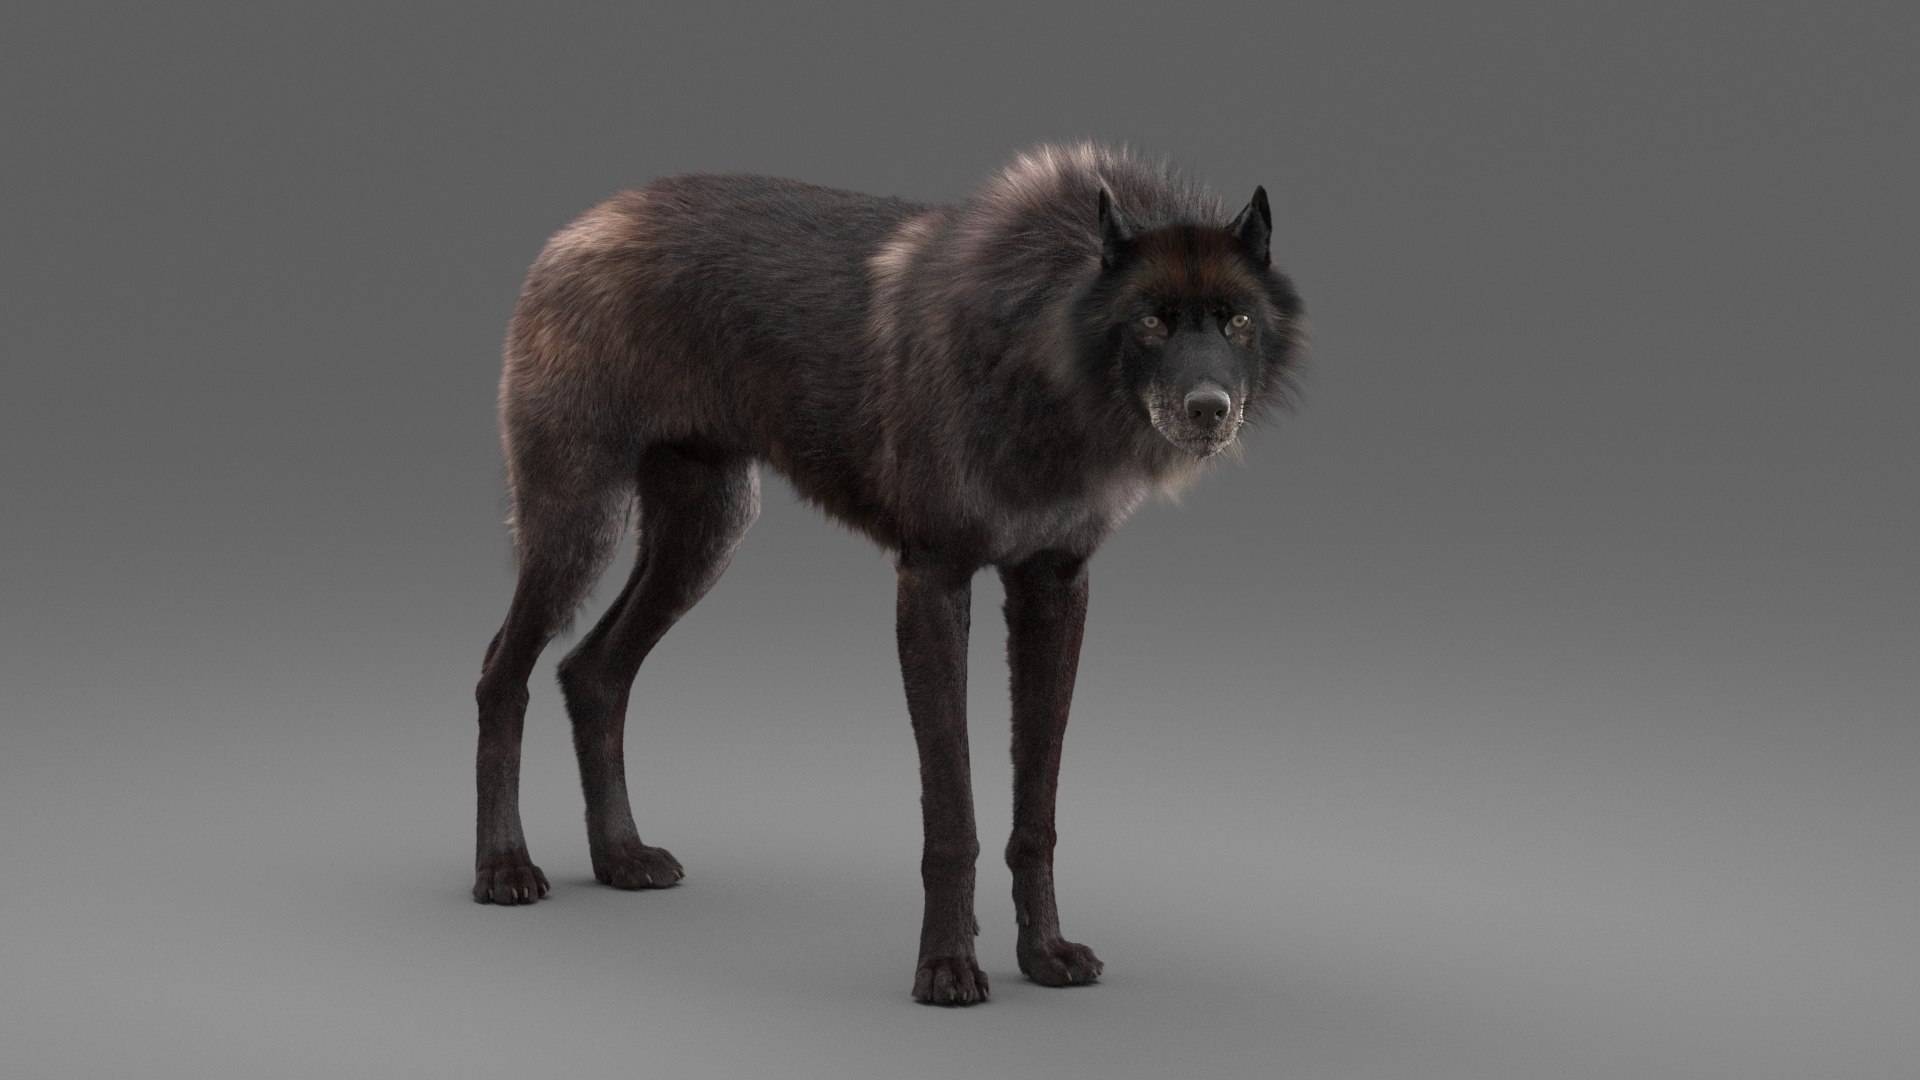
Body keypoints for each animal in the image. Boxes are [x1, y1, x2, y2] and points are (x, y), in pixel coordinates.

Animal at [471, 142, 1305, 1005]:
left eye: (1239, 320)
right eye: (1150, 320)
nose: (1209, 407)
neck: (1034, 348)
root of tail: (580, 227)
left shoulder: (1053, 585)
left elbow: (1034, 811)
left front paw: (1045, 953)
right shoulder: (933, 581)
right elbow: (953, 816)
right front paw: (946, 967)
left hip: (703, 538)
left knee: (592, 672)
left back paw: (620, 858)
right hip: (581, 528)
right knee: (503, 672)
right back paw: (504, 867)